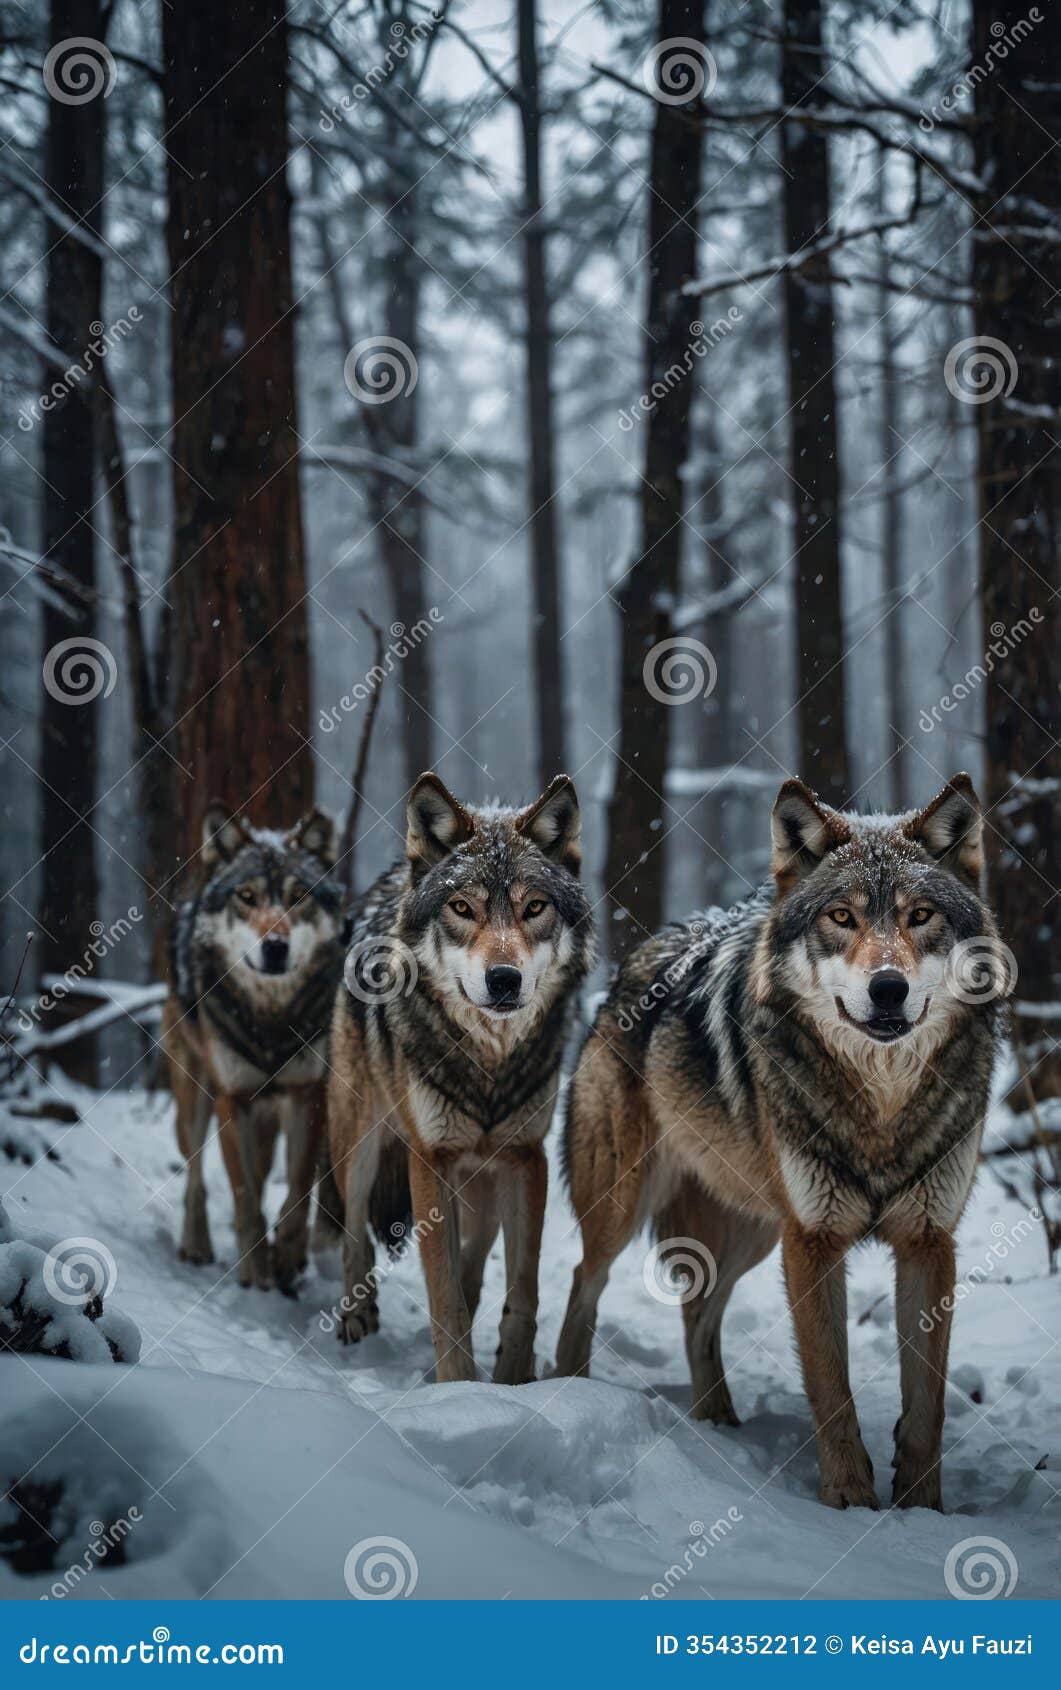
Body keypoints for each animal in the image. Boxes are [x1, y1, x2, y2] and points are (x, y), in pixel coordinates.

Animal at [163, 804, 346, 1291]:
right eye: (246, 896)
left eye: (298, 896)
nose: (276, 947)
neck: (269, 1019)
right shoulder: (234, 1099)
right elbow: (244, 1195)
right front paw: (255, 1272)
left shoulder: (306, 1096)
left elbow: (298, 1191)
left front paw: (286, 1256)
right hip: (195, 1097)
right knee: (195, 1175)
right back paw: (197, 1245)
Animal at [327, 772, 593, 1384]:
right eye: (462, 907)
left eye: (534, 906)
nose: (504, 979)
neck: (488, 1067)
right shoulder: (430, 1159)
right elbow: (444, 1297)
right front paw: (458, 1387)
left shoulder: (525, 1158)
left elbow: (522, 1291)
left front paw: (512, 1380)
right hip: (361, 1141)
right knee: (353, 1226)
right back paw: (357, 1317)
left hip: (483, 1183)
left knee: (474, 1256)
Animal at [557, 773, 1005, 1511]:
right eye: (842, 918)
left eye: (918, 916)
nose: (888, 988)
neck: (879, 1108)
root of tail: (638, 958)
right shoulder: (812, 1240)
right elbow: (830, 1384)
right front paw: (848, 1498)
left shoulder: (926, 1241)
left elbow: (927, 1403)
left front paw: (921, 1507)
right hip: (627, 1204)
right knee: (582, 1284)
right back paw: (562, 1389)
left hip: (749, 1230)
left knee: (698, 1314)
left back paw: (717, 1422)